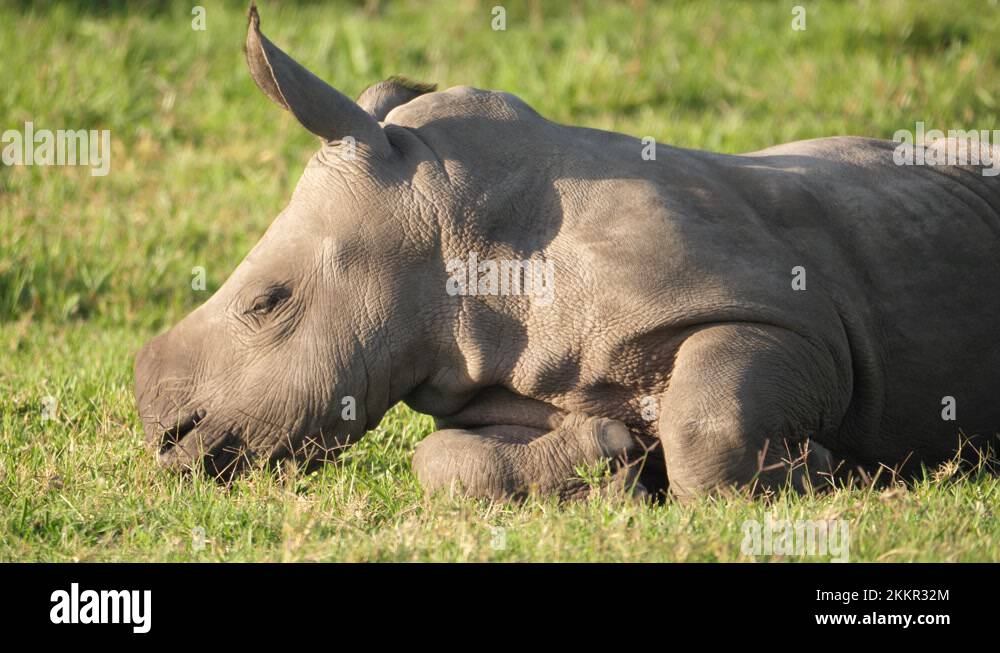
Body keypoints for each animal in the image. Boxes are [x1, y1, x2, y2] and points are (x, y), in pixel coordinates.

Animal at [133, 5, 1000, 500]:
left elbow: (708, 422)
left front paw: (822, 469)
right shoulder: (490, 370)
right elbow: (446, 464)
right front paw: (615, 460)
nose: (164, 439)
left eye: (267, 302)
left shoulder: (794, 317)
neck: (458, 231)